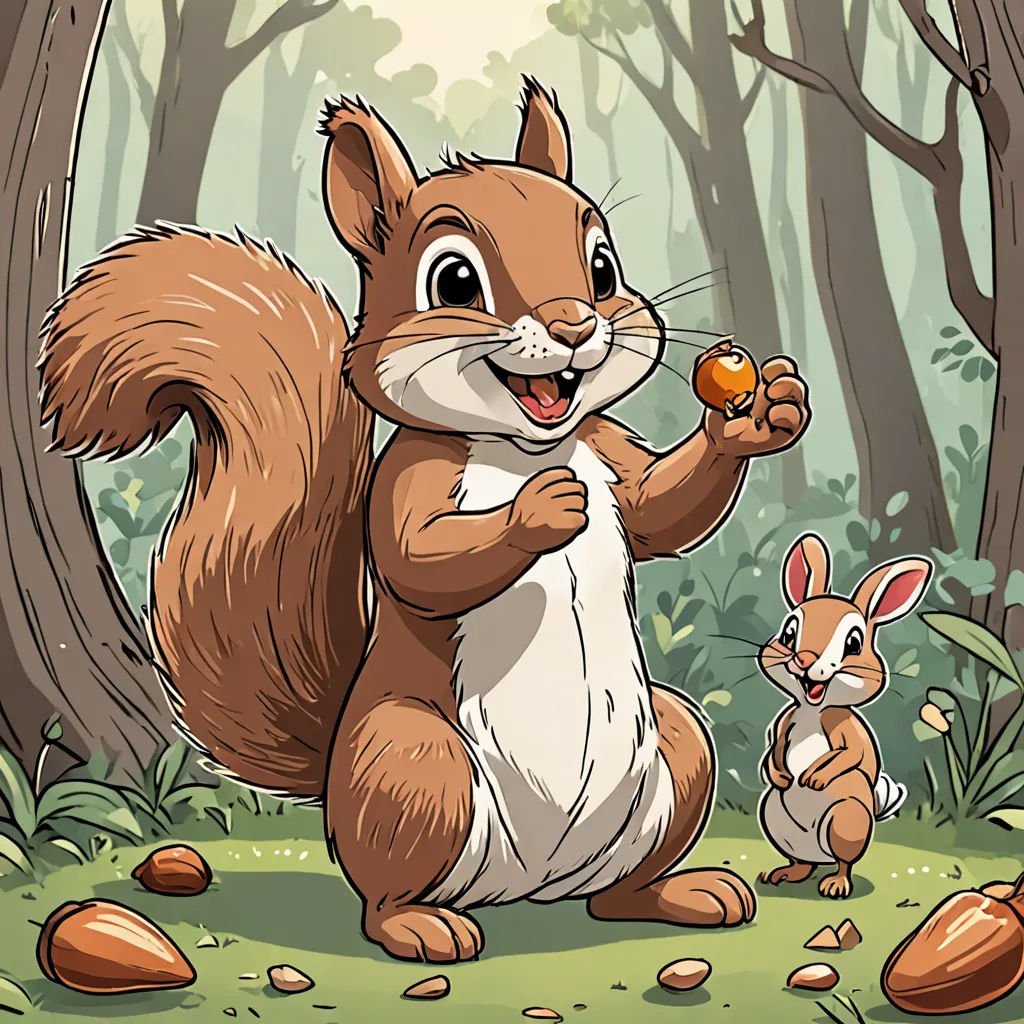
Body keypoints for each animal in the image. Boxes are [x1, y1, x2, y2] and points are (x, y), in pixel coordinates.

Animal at [38, 78, 812, 962]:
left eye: (604, 265)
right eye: (453, 281)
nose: (576, 325)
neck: (527, 445)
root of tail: (530, 886)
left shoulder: (610, 455)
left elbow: (662, 511)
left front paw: (756, 419)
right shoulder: (406, 479)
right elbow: (420, 559)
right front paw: (540, 513)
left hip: (674, 749)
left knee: (617, 890)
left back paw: (680, 893)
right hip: (412, 763)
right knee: (384, 891)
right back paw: (421, 926)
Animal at [757, 532, 931, 899]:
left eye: (854, 643)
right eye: (789, 634)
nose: (804, 659)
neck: (813, 710)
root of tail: (818, 855)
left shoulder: (848, 730)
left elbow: (850, 754)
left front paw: (814, 777)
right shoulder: (783, 724)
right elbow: (774, 750)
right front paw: (781, 776)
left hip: (845, 821)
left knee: (844, 863)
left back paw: (835, 884)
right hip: (775, 820)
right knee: (802, 864)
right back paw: (784, 874)